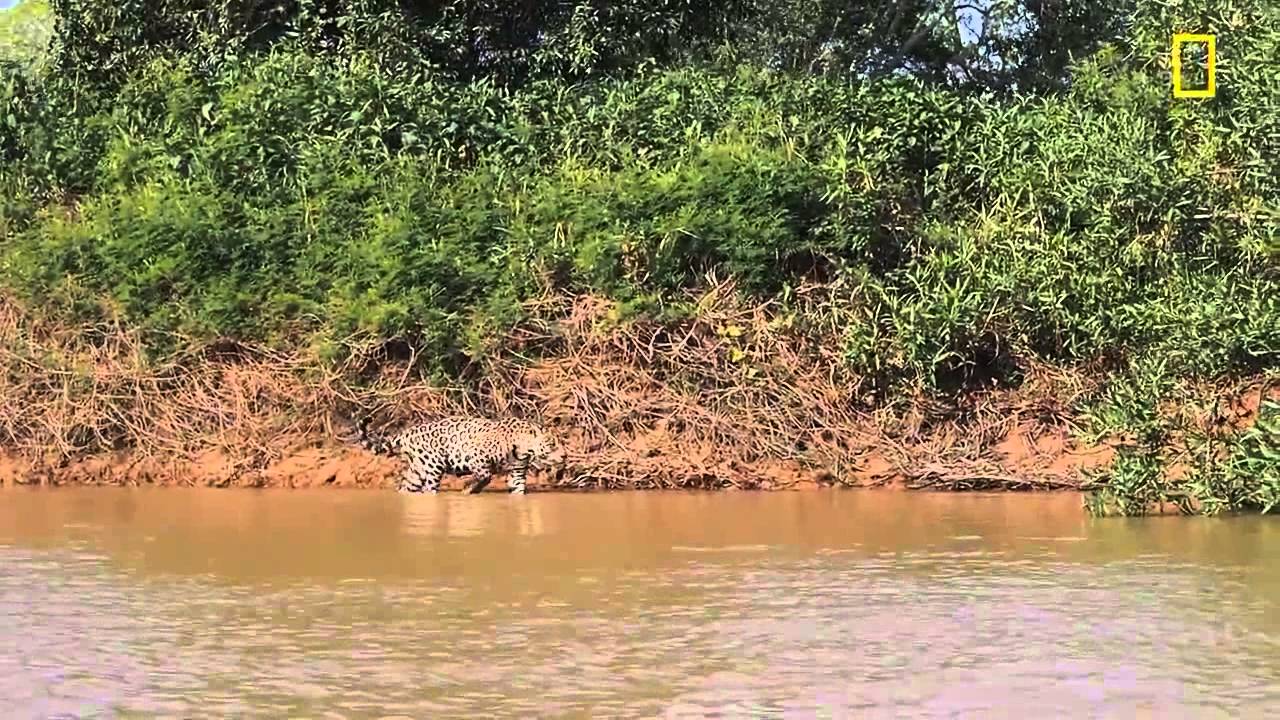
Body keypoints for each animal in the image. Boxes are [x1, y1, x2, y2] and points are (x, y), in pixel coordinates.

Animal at [341, 414, 565, 495]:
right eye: (552, 444)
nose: (564, 457)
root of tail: (407, 433)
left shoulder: (517, 470)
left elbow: (518, 490)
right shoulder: (477, 456)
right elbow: (485, 475)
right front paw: (469, 489)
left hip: (417, 469)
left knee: (407, 487)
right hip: (433, 466)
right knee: (429, 489)